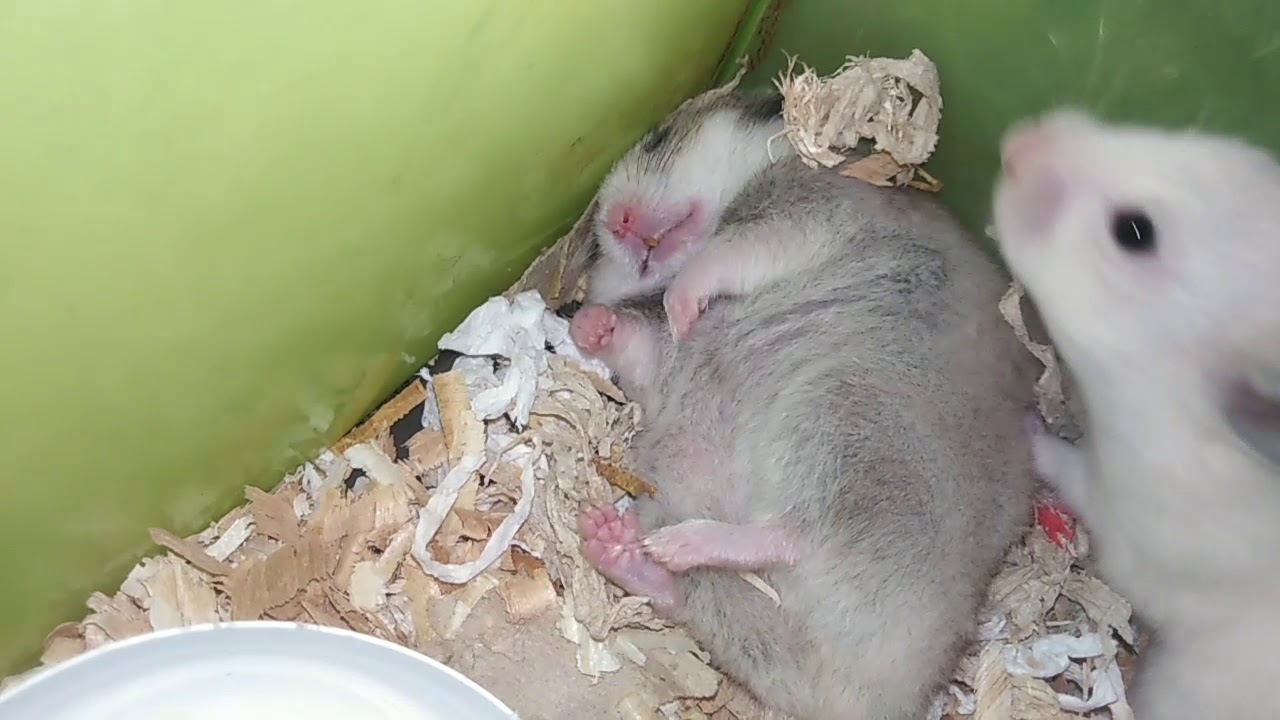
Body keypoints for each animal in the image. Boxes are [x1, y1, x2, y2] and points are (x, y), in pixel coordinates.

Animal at [570, 89, 1040, 719]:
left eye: (658, 138)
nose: (614, 223)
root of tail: (874, 698)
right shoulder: (659, 359)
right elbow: (634, 337)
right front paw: (589, 321)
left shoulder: (809, 211)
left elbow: (720, 258)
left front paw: (680, 304)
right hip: (689, 482)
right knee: (733, 615)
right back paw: (618, 544)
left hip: (843, 415)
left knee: (793, 535)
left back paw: (678, 542)